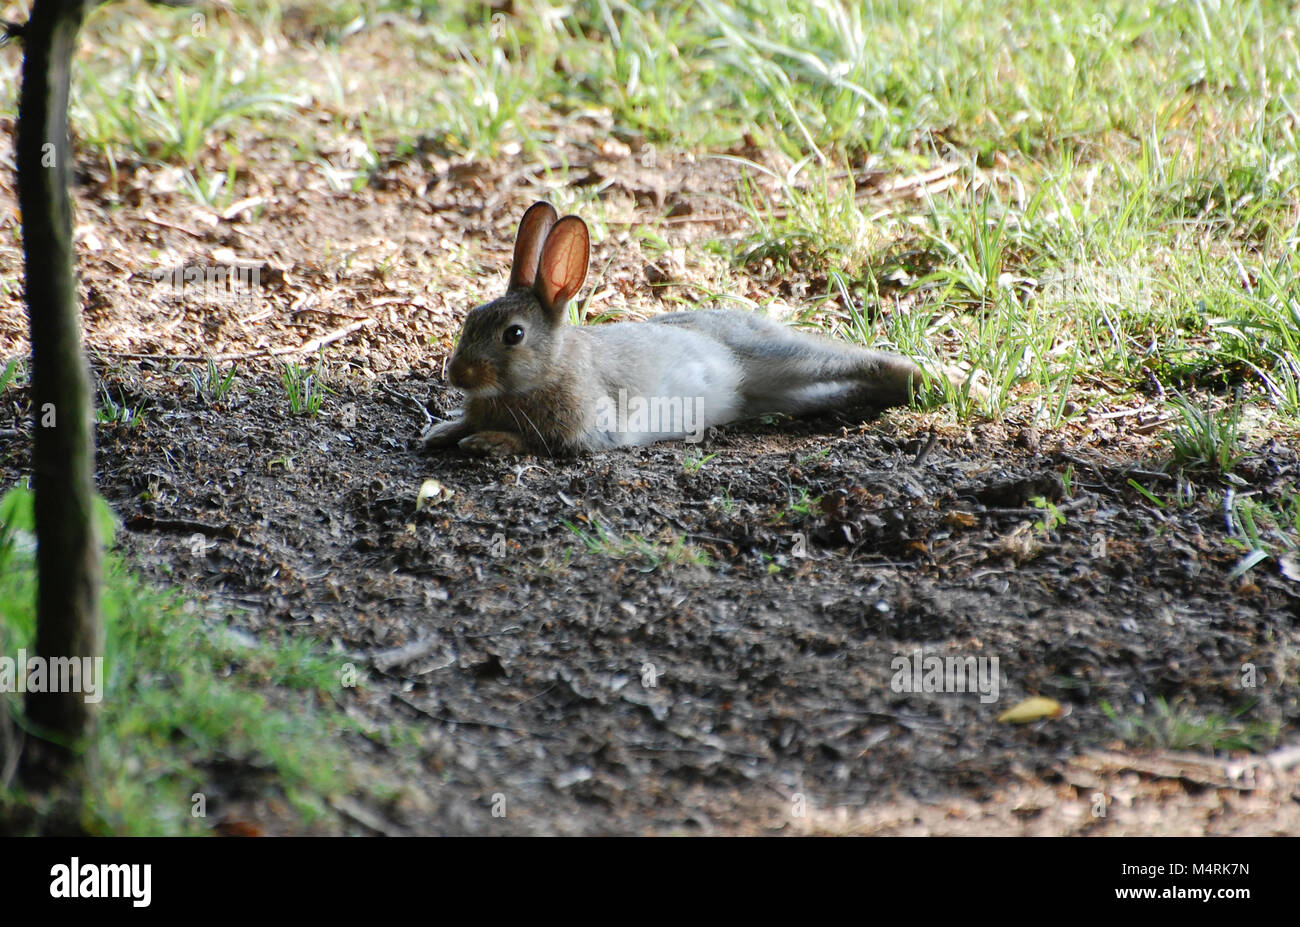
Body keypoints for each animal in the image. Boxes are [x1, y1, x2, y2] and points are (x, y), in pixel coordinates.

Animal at [421, 201, 976, 456]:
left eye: (513, 335)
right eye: (470, 318)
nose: (457, 375)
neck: (551, 366)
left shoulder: (585, 427)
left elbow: (541, 443)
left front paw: (486, 442)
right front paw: (442, 431)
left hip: (781, 356)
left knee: (864, 359)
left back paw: (950, 381)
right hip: (788, 389)